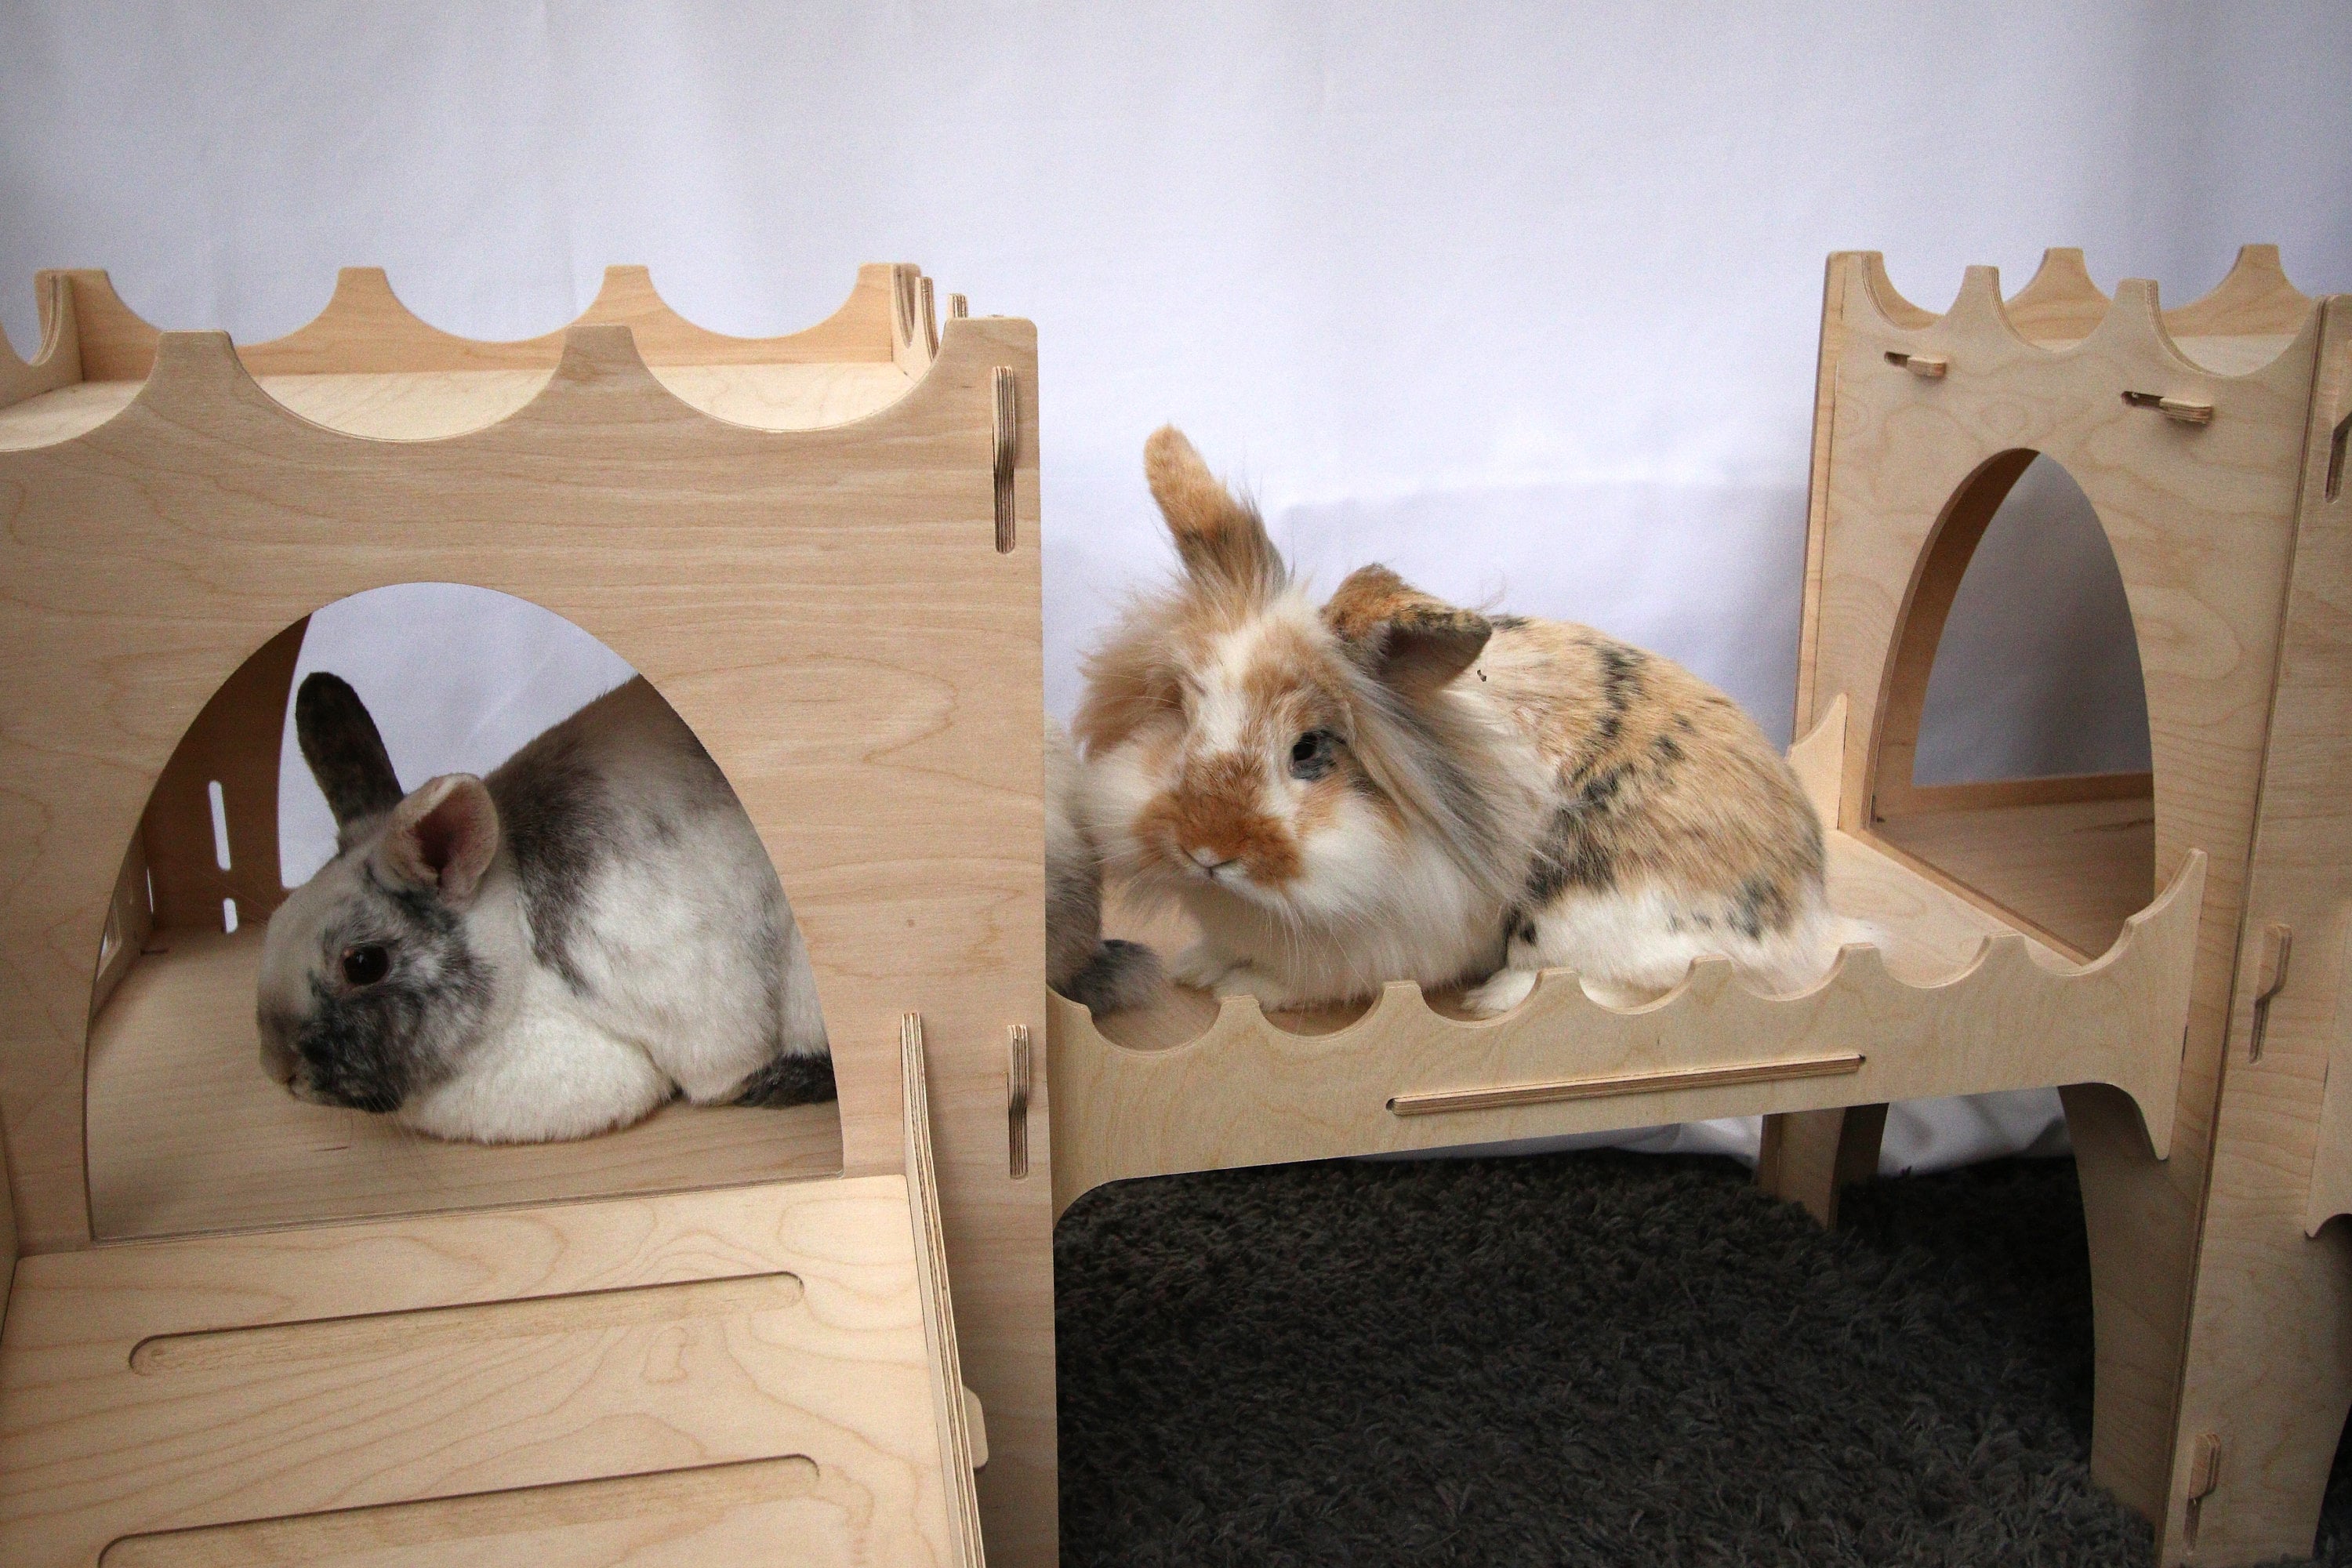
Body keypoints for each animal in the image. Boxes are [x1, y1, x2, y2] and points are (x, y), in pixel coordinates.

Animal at [1072, 426, 1848, 1016]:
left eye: (1310, 749)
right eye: (1181, 711)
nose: (1207, 849)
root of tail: (1811, 909)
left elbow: (1300, 982)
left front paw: (1241, 985)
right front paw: (1198, 966)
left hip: (1595, 919)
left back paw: (1498, 996)